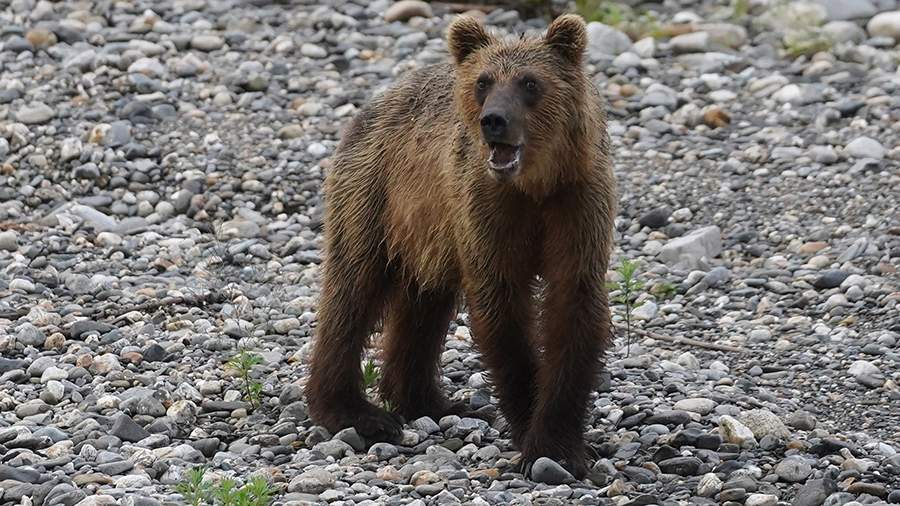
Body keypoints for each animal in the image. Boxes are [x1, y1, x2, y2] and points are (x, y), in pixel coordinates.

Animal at [304, 13, 617, 478]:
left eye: (529, 82)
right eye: (483, 82)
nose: (494, 120)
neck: (534, 185)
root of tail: (375, 102)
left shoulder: (576, 201)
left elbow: (573, 306)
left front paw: (561, 441)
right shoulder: (487, 208)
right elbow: (501, 308)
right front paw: (535, 433)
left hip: (428, 232)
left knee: (423, 306)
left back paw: (428, 400)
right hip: (375, 193)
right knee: (353, 290)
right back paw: (357, 412)